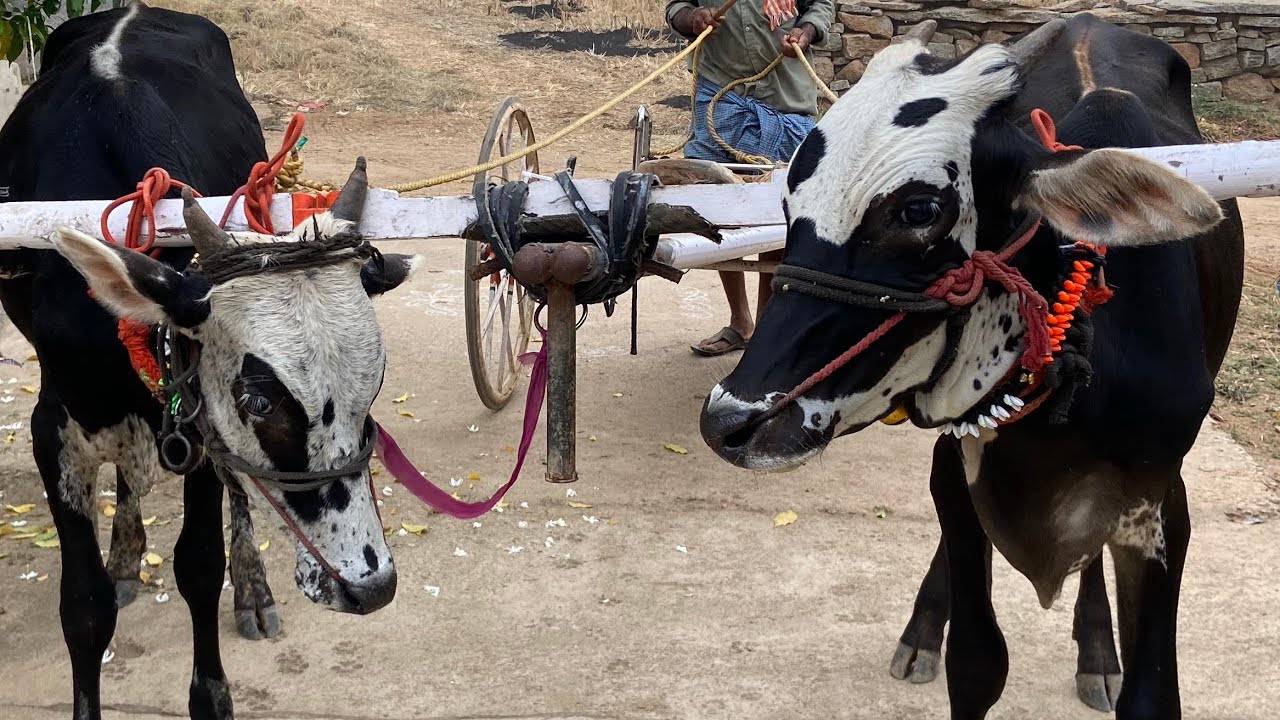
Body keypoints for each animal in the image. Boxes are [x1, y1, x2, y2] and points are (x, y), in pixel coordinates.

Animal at [0, 4, 420, 719]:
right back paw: (126, 554)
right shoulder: (54, 429)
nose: (372, 586)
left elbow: (199, 566)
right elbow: (83, 609)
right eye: (257, 398)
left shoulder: (196, 429)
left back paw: (253, 588)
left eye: (376, 383)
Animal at [699, 14, 1244, 720]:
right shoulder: (960, 471)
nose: (730, 422)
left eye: (919, 211)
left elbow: (1152, 693)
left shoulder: (1158, 502)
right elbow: (978, 663)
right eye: (790, 204)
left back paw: (1097, 651)